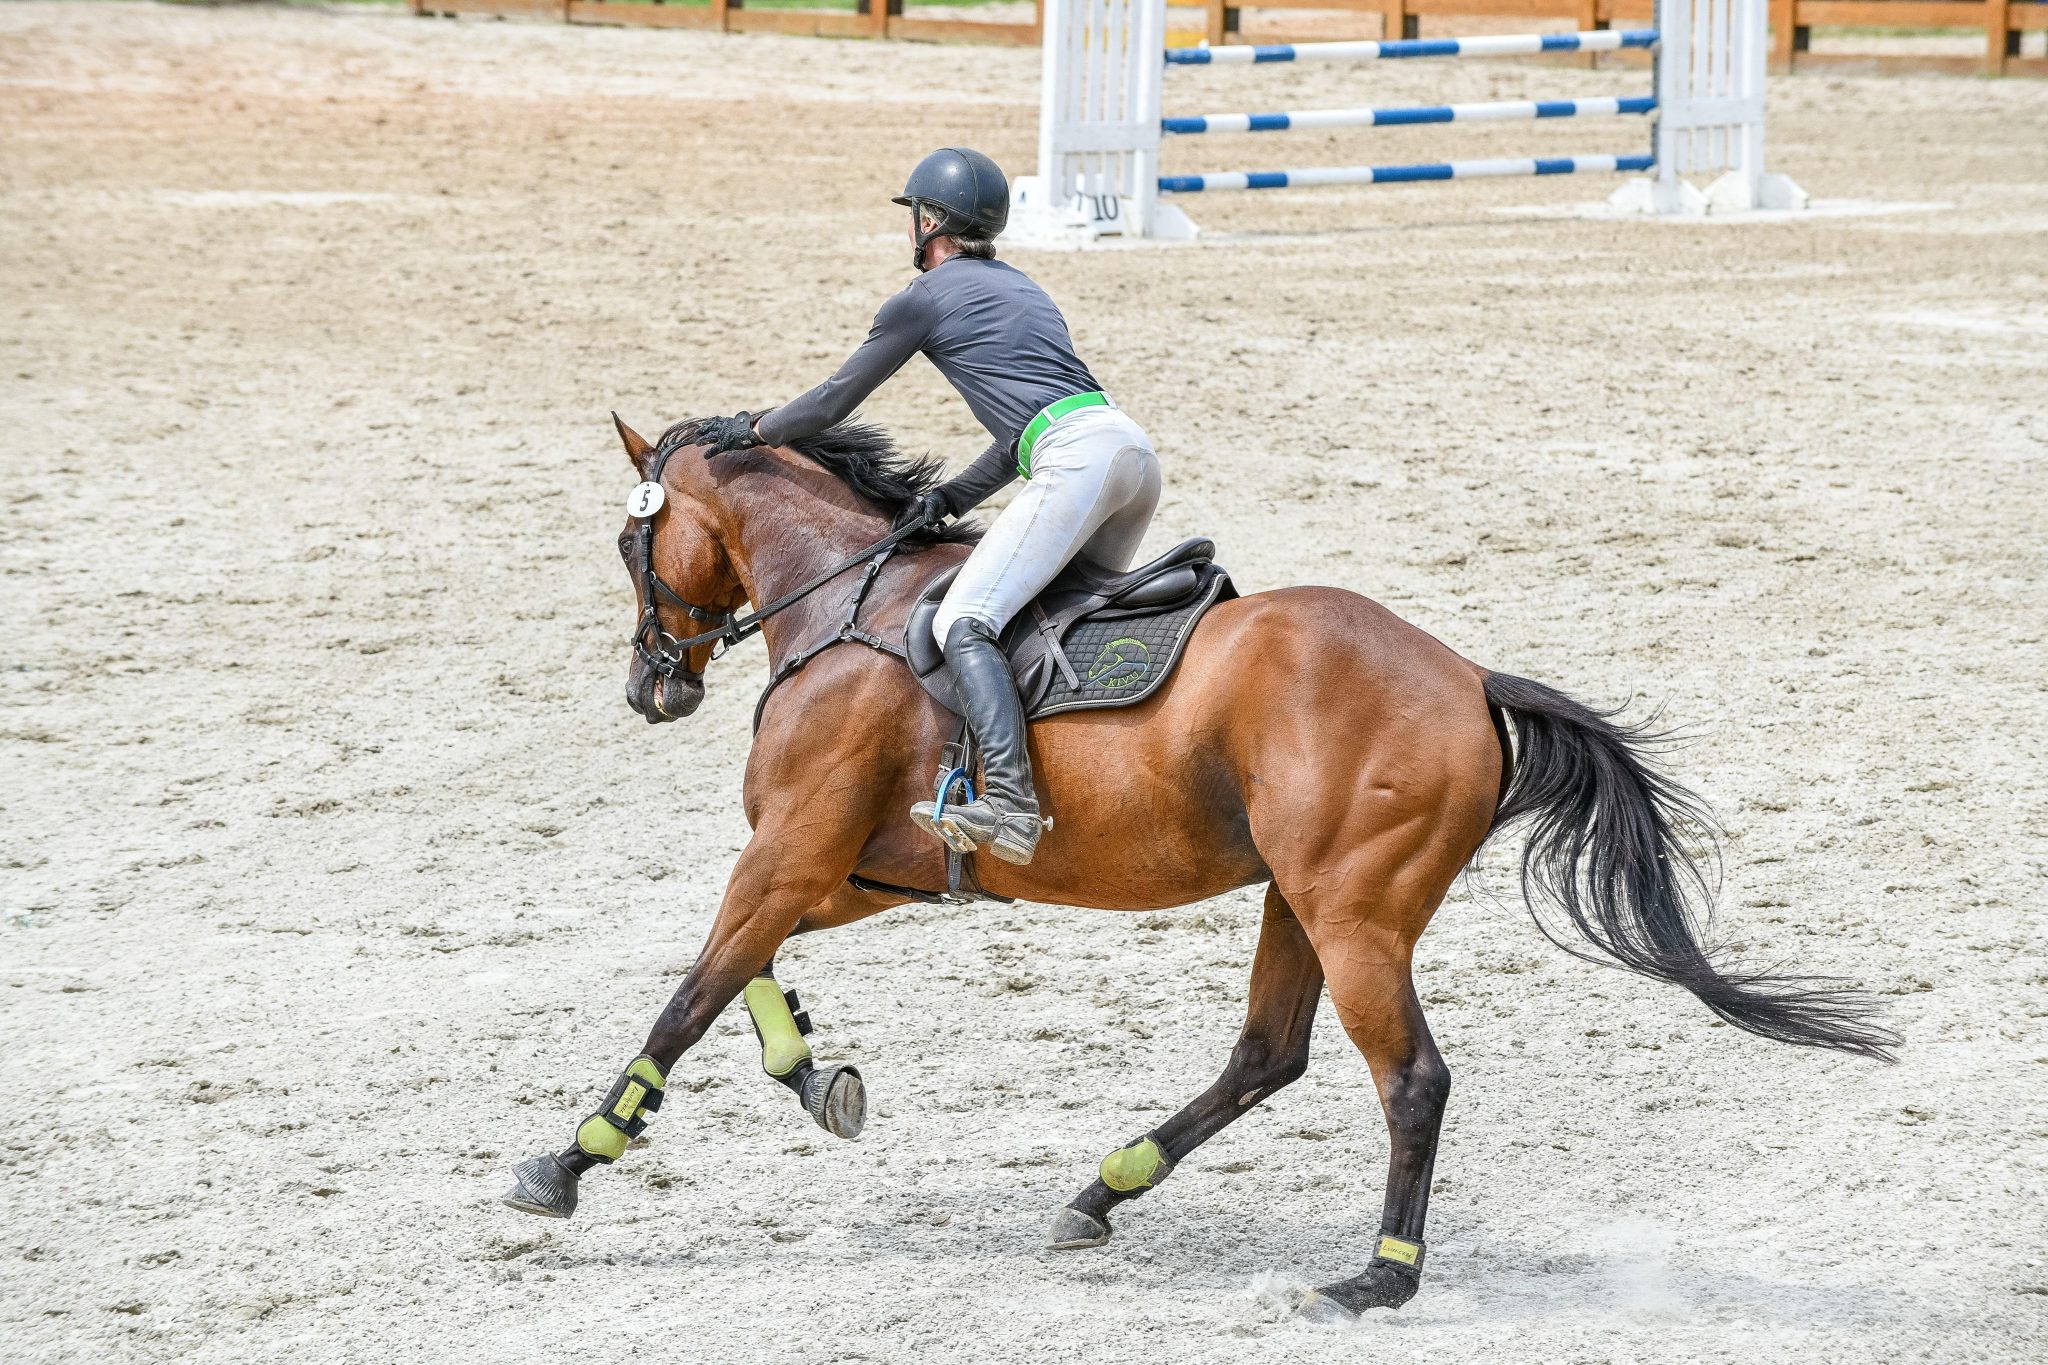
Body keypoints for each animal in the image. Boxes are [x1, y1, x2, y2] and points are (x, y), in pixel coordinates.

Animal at [503, 414, 1897, 1315]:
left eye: (628, 548)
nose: (651, 689)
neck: (846, 604)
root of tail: (1464, 677)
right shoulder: (844, 868)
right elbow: (745, 972)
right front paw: (815, 1078)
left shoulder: (791, 852)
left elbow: (690, 991)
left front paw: (568, 1162)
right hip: (1298, 898)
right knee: (1266, 1057)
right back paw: (1100, 1193)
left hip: (1352, 915)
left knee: (1409, 1081)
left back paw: (1373, 1281)